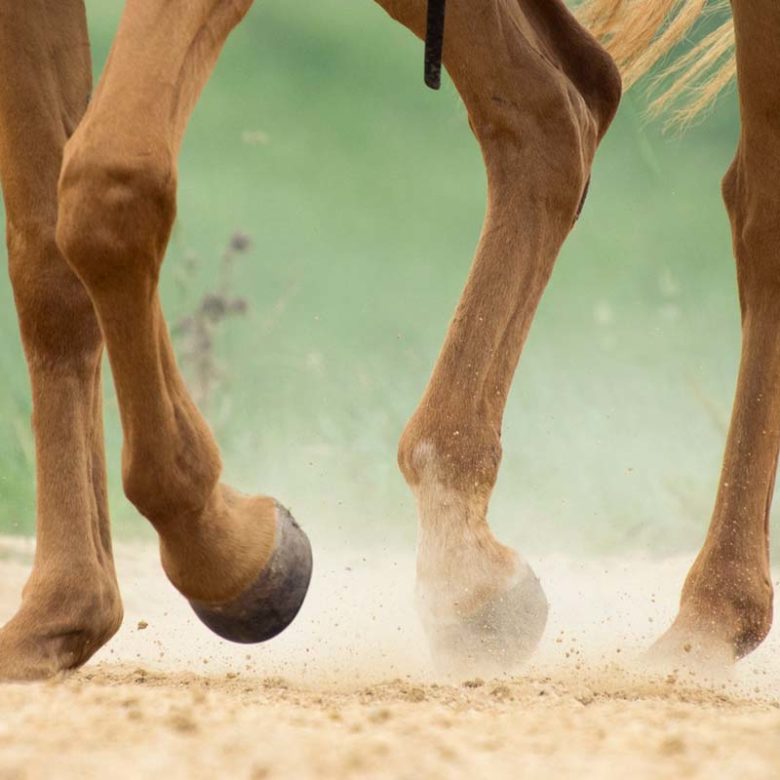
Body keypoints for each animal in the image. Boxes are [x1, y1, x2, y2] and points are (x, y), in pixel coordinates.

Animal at [0, 0, 770, 681]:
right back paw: (469, 570)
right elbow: (48, 253)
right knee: (556, 108)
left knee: (757, 207)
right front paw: (62, 611)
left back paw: (708, 619)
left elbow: (111, 189)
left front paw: (224, 551)